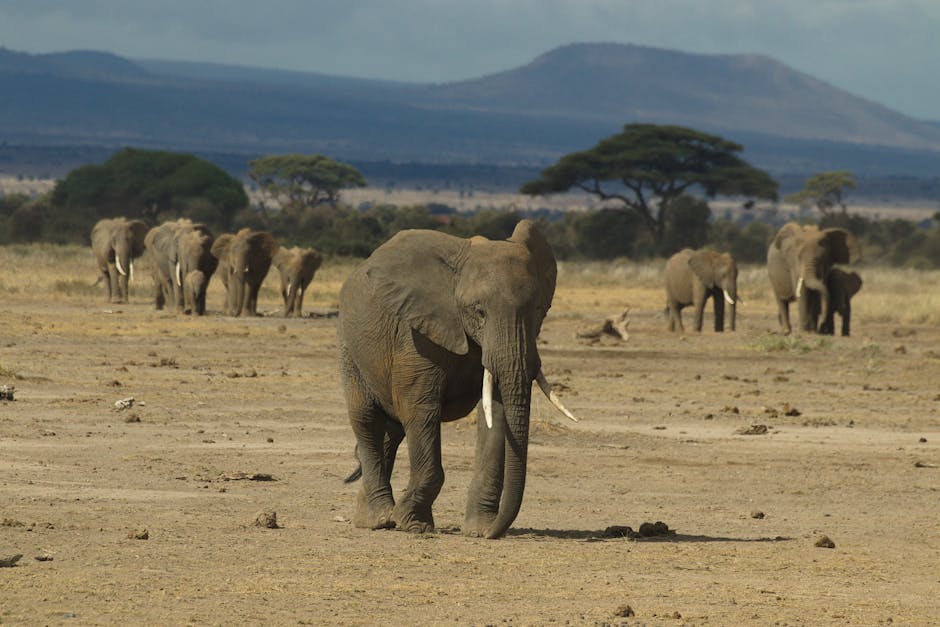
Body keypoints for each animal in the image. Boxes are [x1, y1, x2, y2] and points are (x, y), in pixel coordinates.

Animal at [334, 220, 576, 540]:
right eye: (480, 312)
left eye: (538, 310)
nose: (493, 533)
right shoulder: (416, 336)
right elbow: (420, 409)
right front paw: (414, 525)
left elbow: (496, 415)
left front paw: (479, 529)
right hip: (350, 347)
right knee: (366, 419)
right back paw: (379, 519)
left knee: (392, 430)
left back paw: (370, 517)